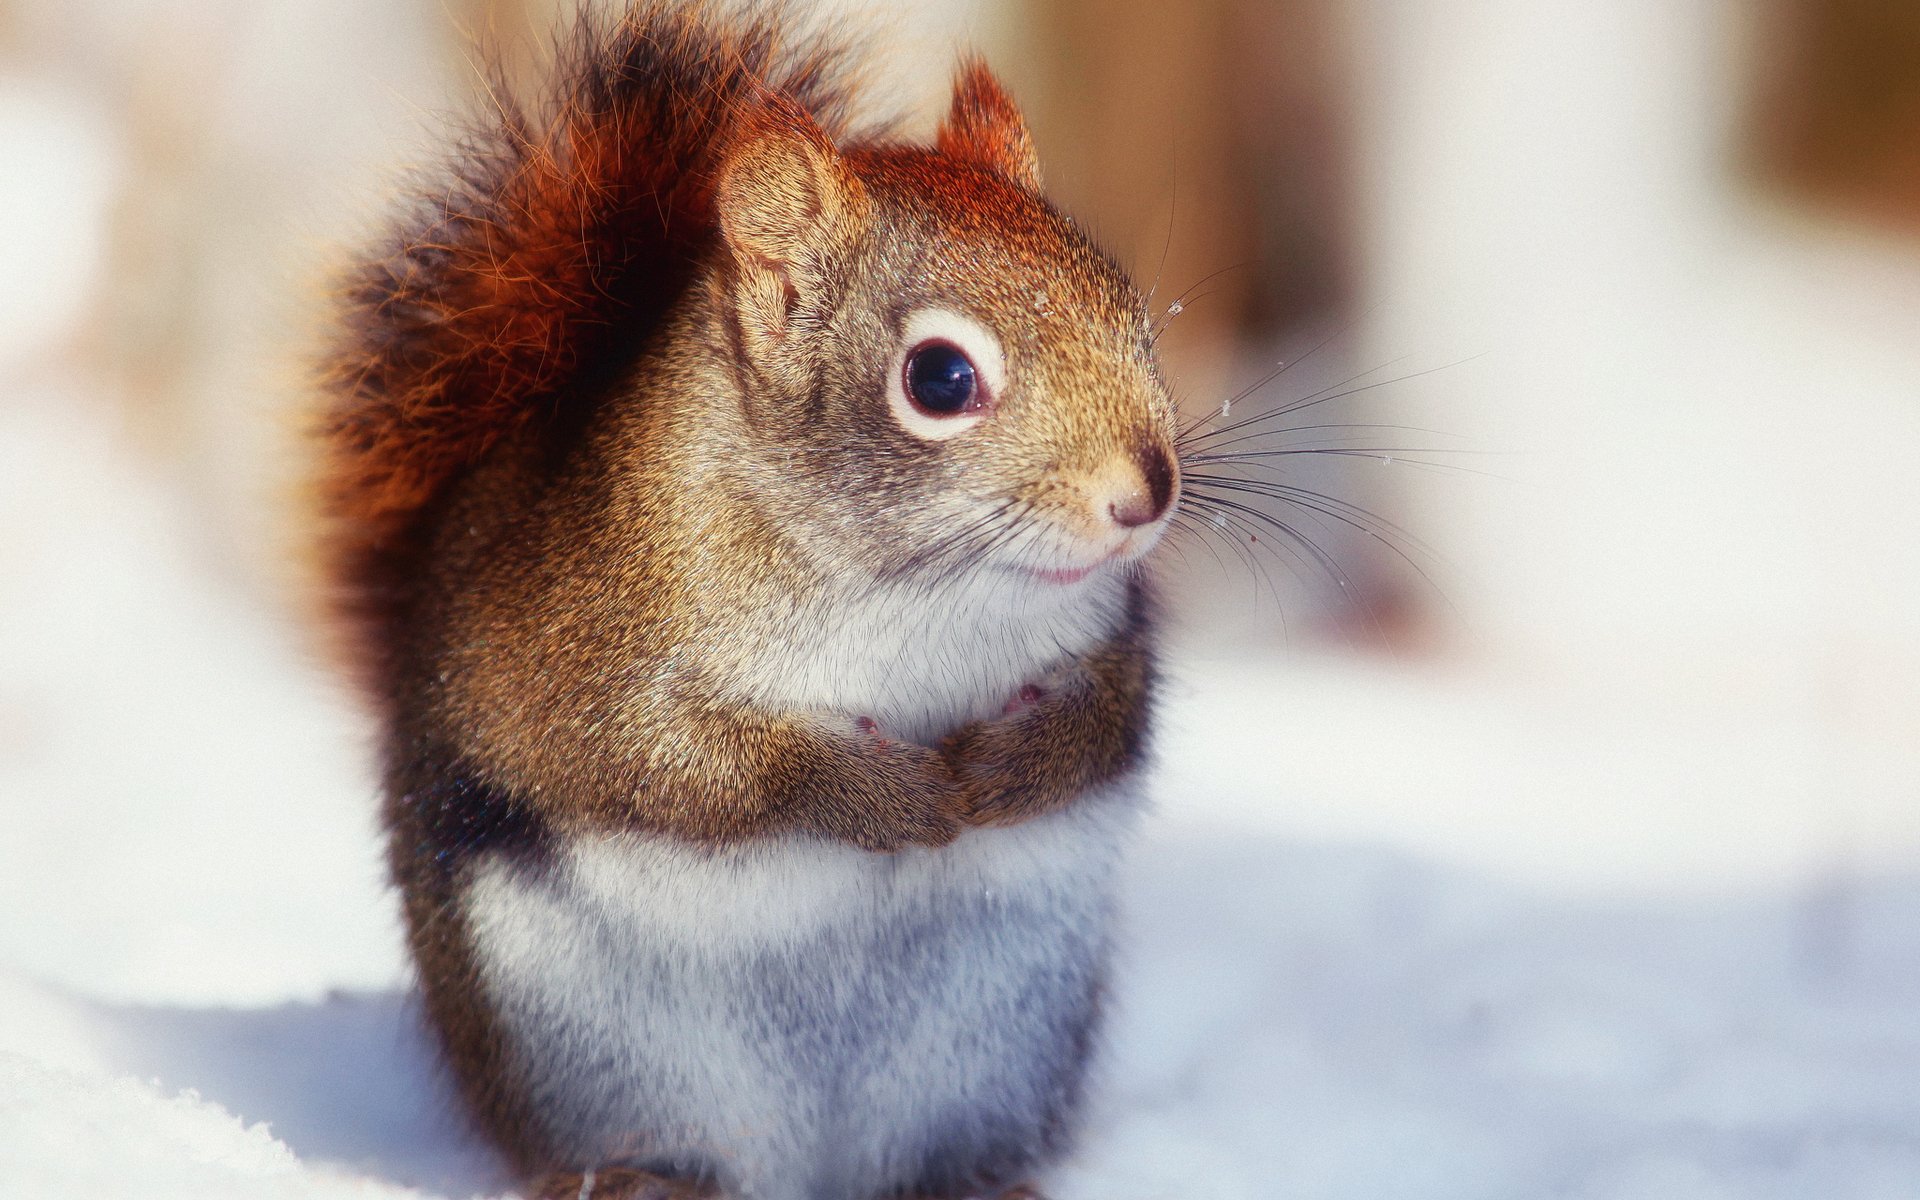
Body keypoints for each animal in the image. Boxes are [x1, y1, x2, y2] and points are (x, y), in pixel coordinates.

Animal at [312, 4, 1180, 1199]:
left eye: (1134, 315)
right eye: (941, 379)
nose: (1150, 490)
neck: (918, 594)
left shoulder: (1110, 628)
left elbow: (1113, 713)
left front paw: (1011, 768)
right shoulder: (590, 653)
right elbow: (685, 769)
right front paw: (887, 795)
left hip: (998, 1047)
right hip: (598, 1059)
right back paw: (645, 1178)